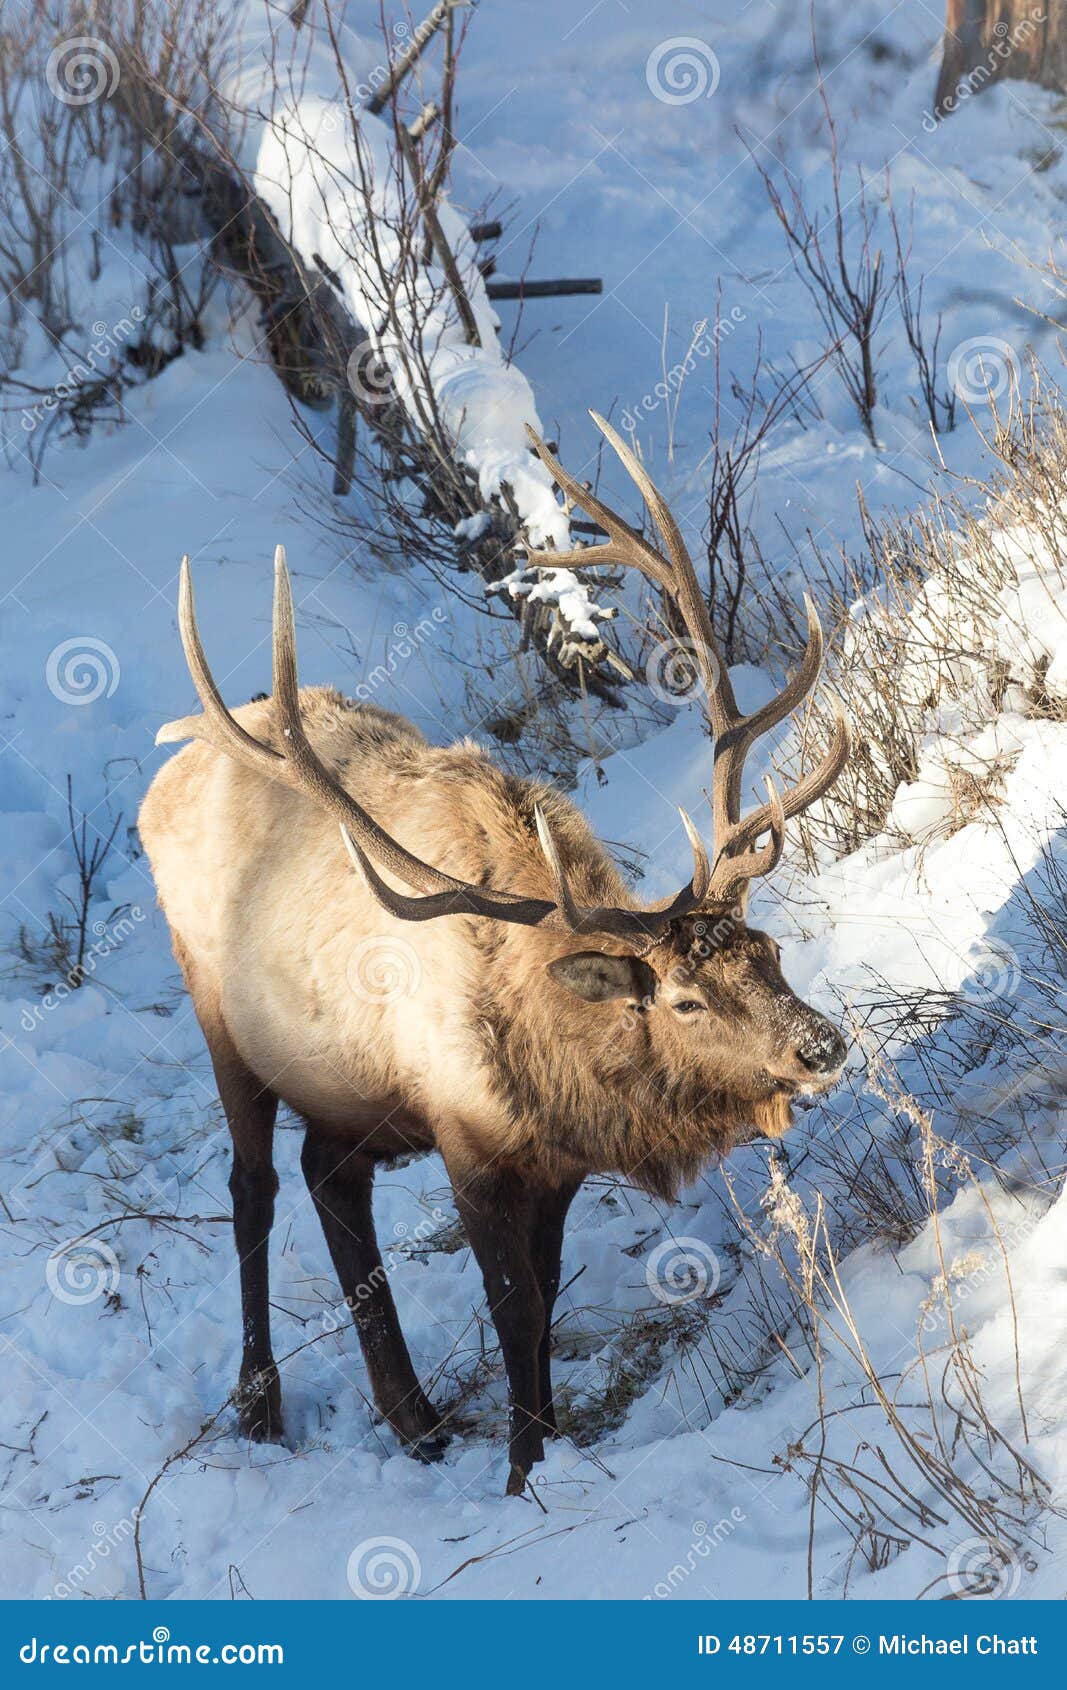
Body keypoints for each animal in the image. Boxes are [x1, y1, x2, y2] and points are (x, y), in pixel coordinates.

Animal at [139, 413, 850, 1496]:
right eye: (683, 999)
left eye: (764, 952)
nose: (821, 1045)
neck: (553, 1057)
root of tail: (165, 775)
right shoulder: (468, 1141)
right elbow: (511, 1308)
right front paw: (522, 1472)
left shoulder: (550, 1160)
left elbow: (546, 1296)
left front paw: (545, 1443)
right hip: (220, 1017)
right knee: (253, 1189)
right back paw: (262, 1409)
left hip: (348, 1081)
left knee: (326, 1174)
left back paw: (414, 1417)